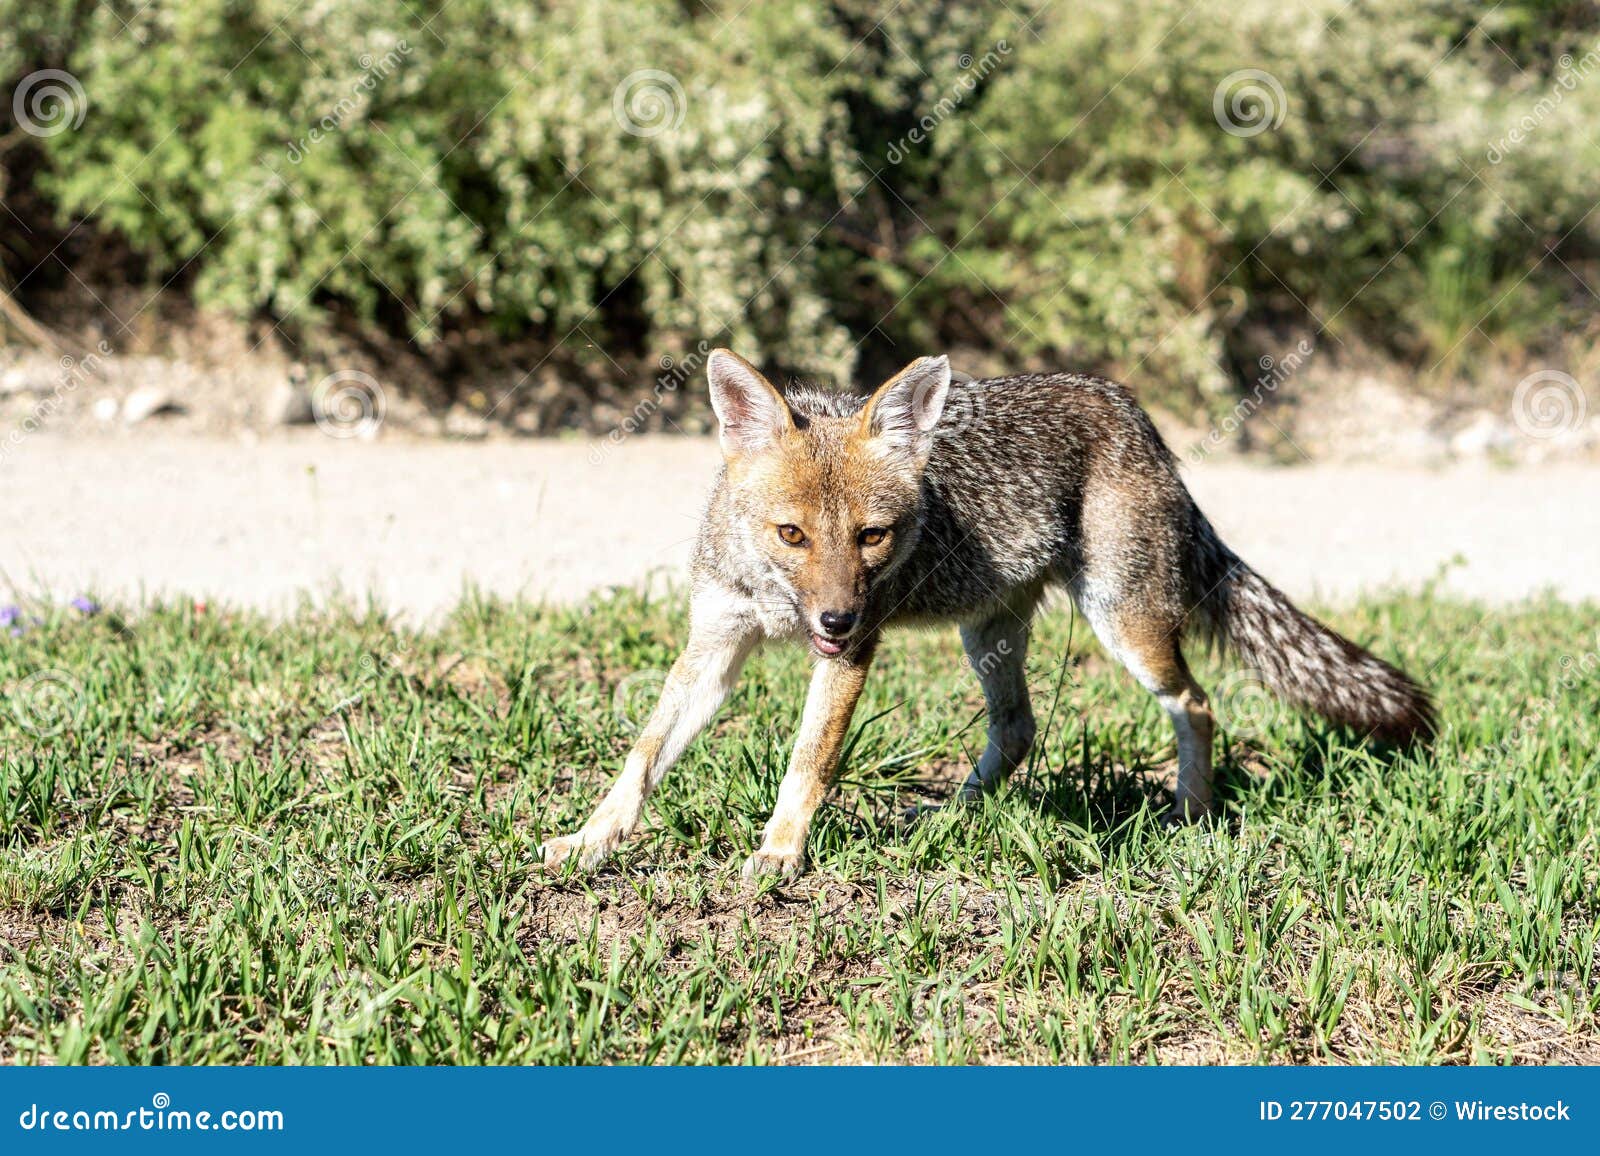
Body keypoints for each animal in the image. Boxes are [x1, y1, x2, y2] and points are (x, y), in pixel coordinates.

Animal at [541, 349, 1436, 879]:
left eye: (872, 536)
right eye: (791, 535)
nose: (832, 620)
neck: (777, 599)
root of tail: (1132, 410)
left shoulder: (853, 657)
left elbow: (808, 760)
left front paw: (781, 850)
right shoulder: (715, 644)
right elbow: (643, 755)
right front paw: (592, 840)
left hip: (1126, 629)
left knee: (1197, 703)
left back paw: (1191, 810)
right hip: (990, 638)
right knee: (1018, 730)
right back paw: (947, 817)